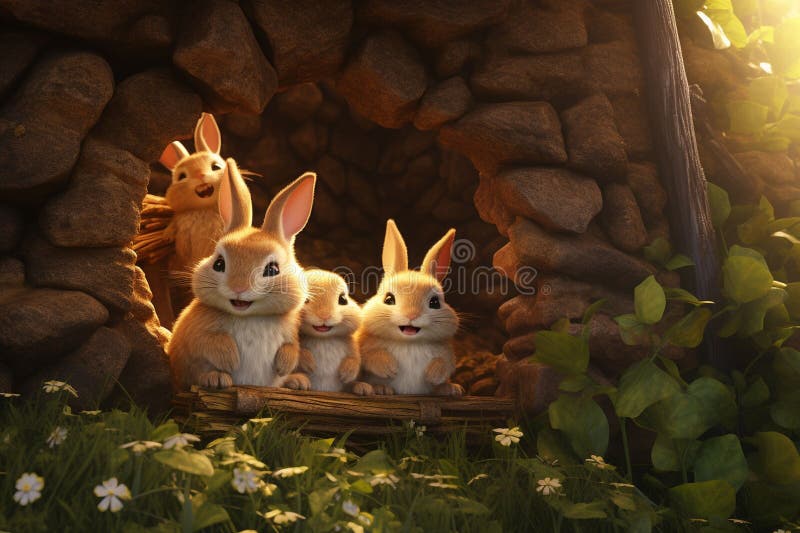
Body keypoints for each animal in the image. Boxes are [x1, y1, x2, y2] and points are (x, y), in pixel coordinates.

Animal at [167, 157, 316, 391]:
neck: (250, 316)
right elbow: (207, 341)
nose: (238, 288)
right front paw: (230, 360)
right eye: (219, 264)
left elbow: (292, 347)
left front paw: (284, 367)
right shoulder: (194, 333)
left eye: (272, 270)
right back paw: (216, 378)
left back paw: (297, 381)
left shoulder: (291, 334)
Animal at [358, 220, 464, 397]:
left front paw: (433, 375)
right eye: (388, 299)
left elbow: (445, 363)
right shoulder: (366, 345)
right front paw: (389, 368)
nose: (412, 315)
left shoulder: (447, 352)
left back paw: (450, 389)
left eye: (435, 302)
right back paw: (381, 389)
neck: (409, 342)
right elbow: (370, 355)